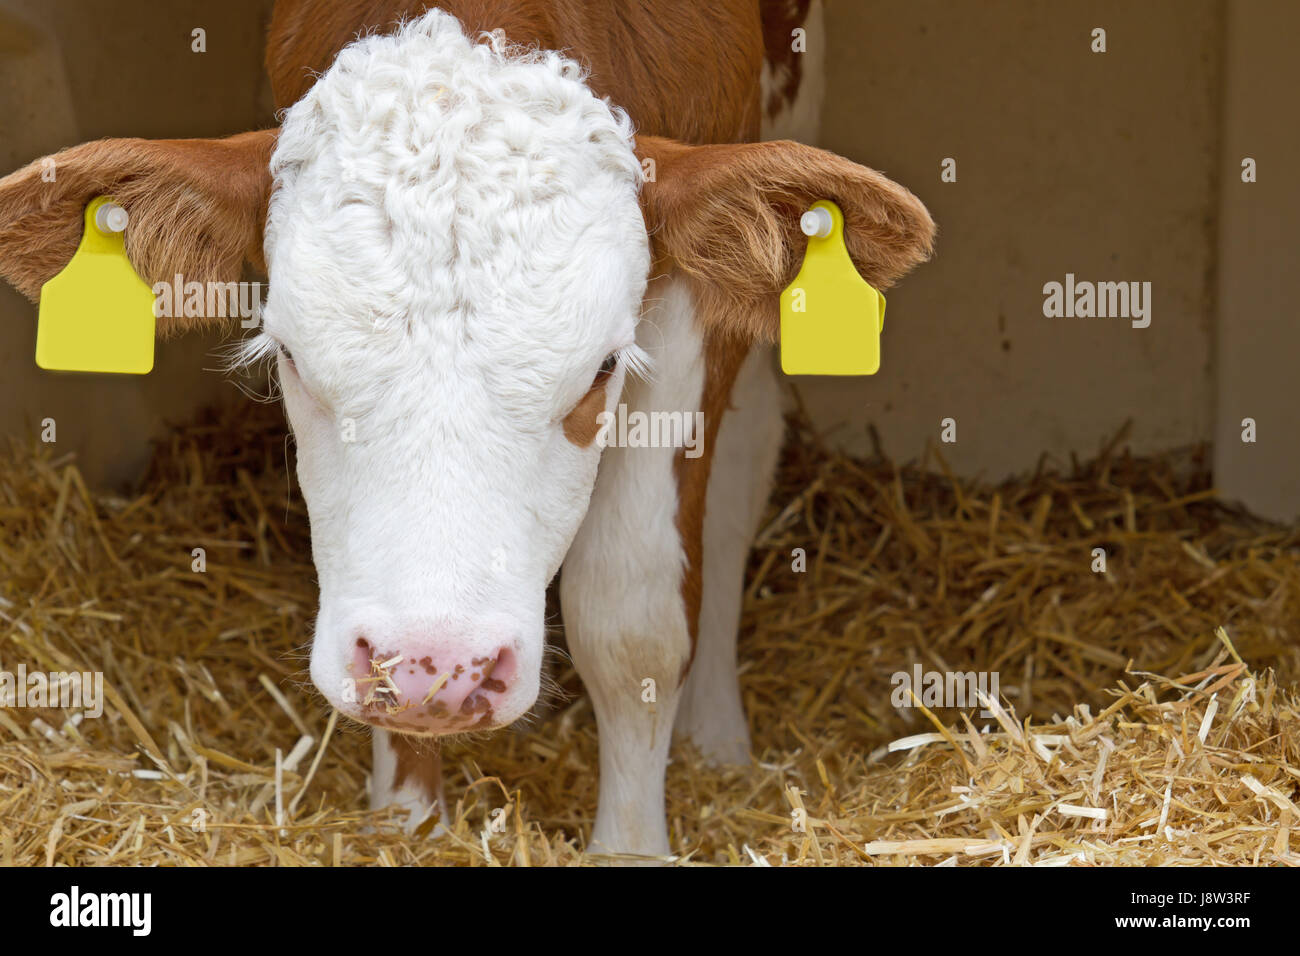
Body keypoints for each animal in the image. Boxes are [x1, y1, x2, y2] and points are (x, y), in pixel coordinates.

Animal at [0, 0, 933, 857]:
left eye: (603, 368)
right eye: (291, 355)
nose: (437, 671)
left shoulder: (685, 310)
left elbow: (631, 615)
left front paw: (630, 847)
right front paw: (405, 823)